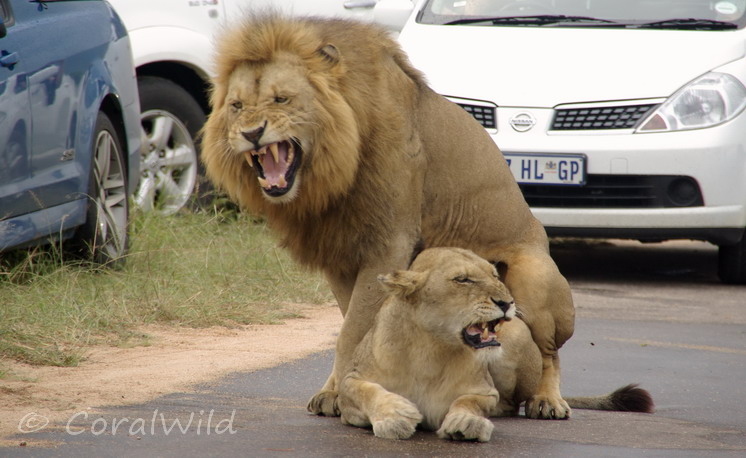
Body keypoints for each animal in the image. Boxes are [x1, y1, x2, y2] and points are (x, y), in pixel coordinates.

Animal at [201, 13, 575, 419]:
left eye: (281, 99)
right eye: (237, 106)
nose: (252, 132)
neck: (331, 174)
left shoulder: (389, 245)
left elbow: (353, 330)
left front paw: (349, 396)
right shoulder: (340, 254)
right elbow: (352, 324)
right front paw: (340, 389)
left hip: (534, 279)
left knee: (549, 353)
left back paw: (547, 400)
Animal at [338, 247, 654, 442]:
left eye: (494, 275)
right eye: (463, 279)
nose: (507, 302)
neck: (431, 348)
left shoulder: (483, 391)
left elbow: (468, 402)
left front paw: (467, 423)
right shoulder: (350, 388)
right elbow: (368, 392)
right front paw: (397, 416)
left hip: (516, 337)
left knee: (514, 403)